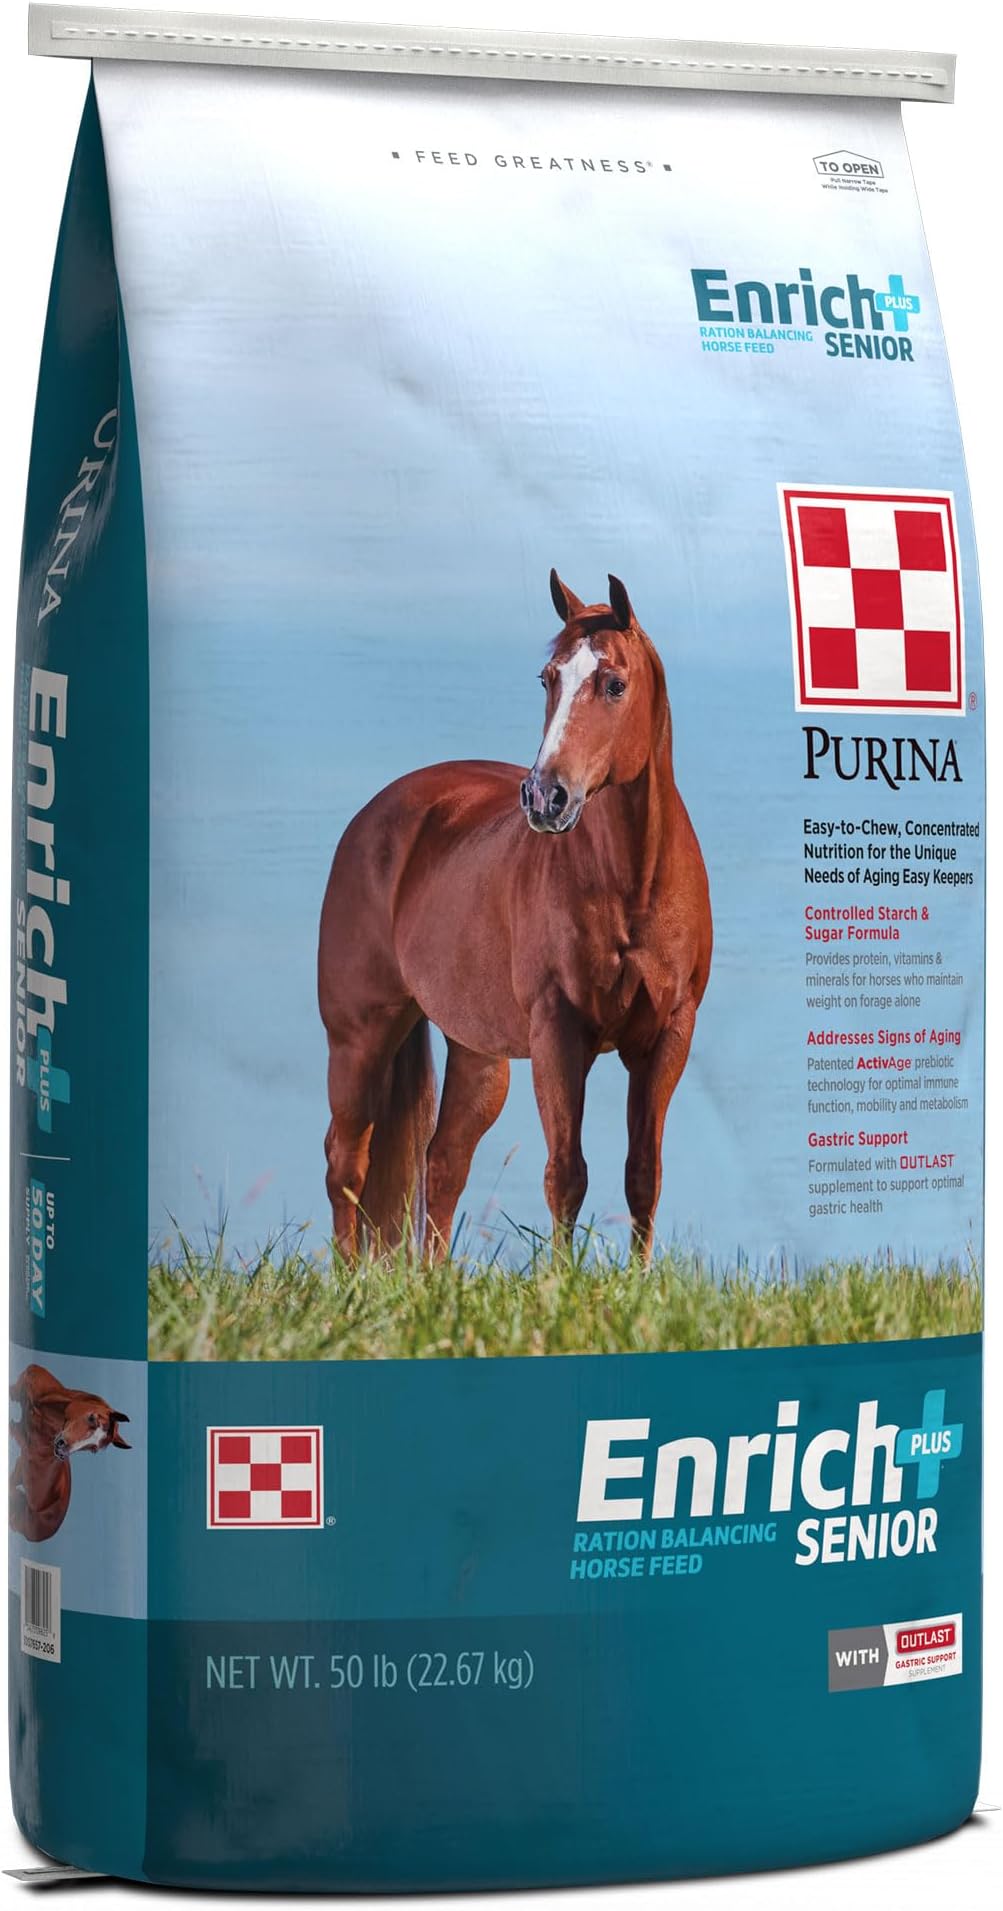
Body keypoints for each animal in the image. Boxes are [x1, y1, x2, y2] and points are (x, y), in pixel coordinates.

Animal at [318, 570, 711, 1264]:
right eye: (548, 678)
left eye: (615, 683)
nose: (544, 796)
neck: (634, 883)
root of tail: (375, 816)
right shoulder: (559, 1032)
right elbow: (566, 1173)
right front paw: (562, 1281)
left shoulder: (669, 1035)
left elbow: (644, 1174)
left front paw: (640, 1283)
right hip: (361, 1035)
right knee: (347, 1162)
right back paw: (346, 1282)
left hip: (478, 1056)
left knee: (443, 1162)